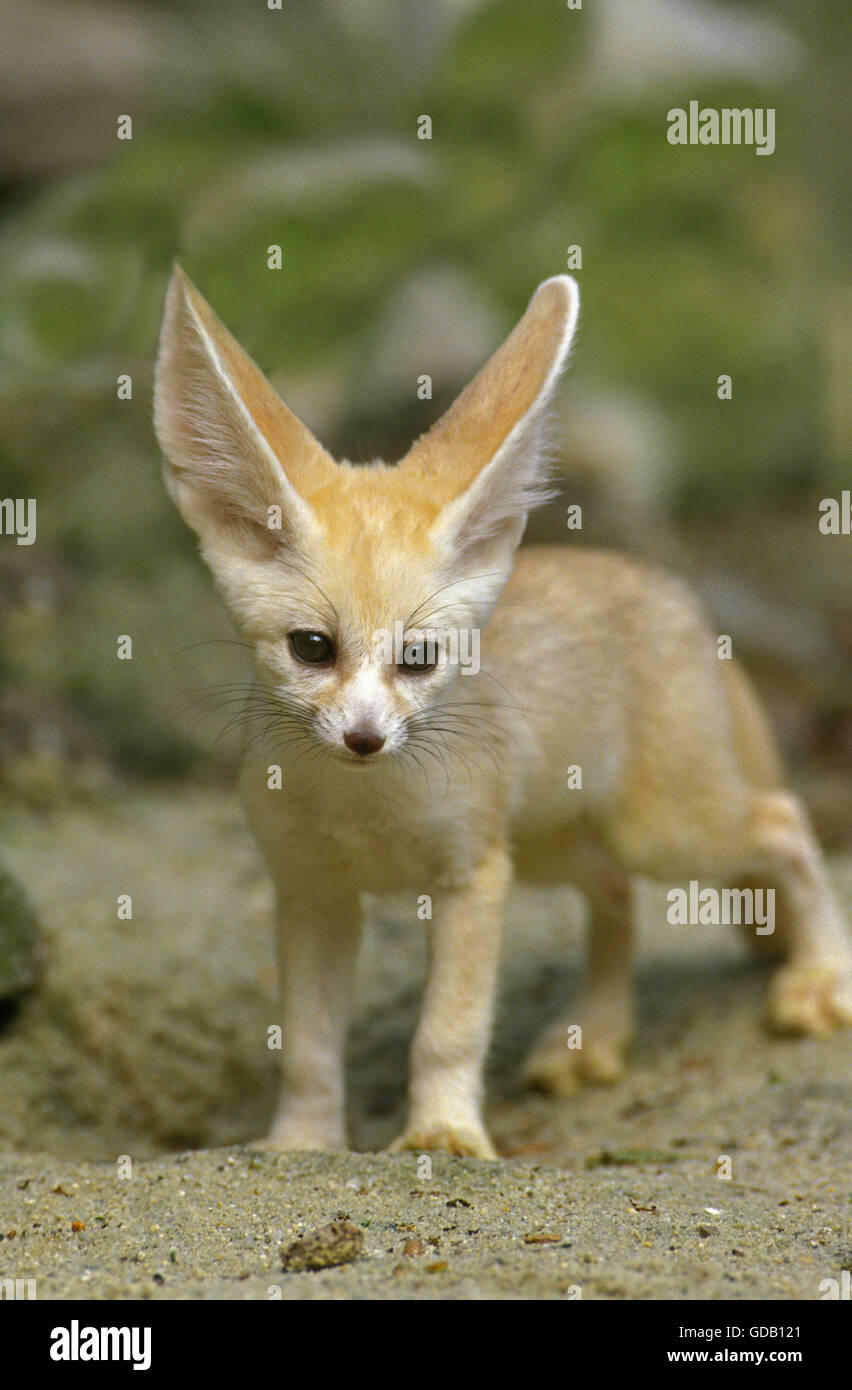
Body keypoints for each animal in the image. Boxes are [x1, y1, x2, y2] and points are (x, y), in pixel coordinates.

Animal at [153, 267, 852, 1160]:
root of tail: (669, 587)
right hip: (554, 844)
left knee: (784, 820)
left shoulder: (473, 877)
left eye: (420, 659)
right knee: (615, 893)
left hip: (665, 831)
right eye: (312, 648)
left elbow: (446, 1032)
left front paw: (443, 1134)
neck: (363, 807)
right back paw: (593, 1034)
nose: (364, 737)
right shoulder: (312, 892)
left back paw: (819, 975)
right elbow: (308, 1047)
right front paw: (300, 1146)